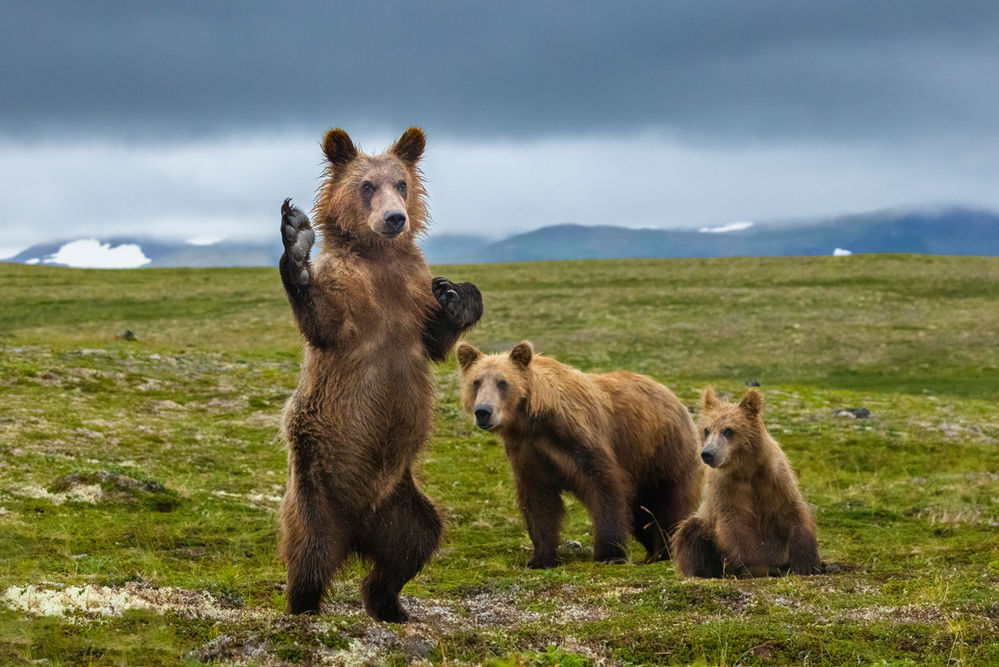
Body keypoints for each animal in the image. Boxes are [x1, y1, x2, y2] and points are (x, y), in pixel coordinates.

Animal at [277, 127, 483, 622]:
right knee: (308, 553)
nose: (395, 218)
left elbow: (435, 341)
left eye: (401, 184)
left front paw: (458, 296)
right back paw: (303, 606)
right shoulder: (349, 296)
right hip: (315, 493)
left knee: (416, 541)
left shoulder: (412, 292)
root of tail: (356, 533)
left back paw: (390, 604)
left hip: (400, 501)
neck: (379, 261)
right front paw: (296, 246)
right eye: (367, 186)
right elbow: (323, 322)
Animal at [456, 341, 703, 567]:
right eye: (476, 382)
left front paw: (609, 553)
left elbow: (604, 485)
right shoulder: (528, 452)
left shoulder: (578, 438)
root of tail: (673, 397)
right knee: (641, 512)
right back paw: (652, 552)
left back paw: (665, 549)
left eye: (502, 382)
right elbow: (538, 500)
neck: (533, 422)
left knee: (669, 502)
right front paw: (540, 557)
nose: (483, 411)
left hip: (663, 451)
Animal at [671, 387, 821, 578]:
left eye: (728, 430)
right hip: (704, 523)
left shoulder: (775, 480)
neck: (747, 469)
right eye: (706, 430)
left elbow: (792, 512)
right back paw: (701, 570)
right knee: (690, 533)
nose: (707, 453)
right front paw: (754, 567)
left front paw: (807, 564)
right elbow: (735, 524)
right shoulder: (728, 487)